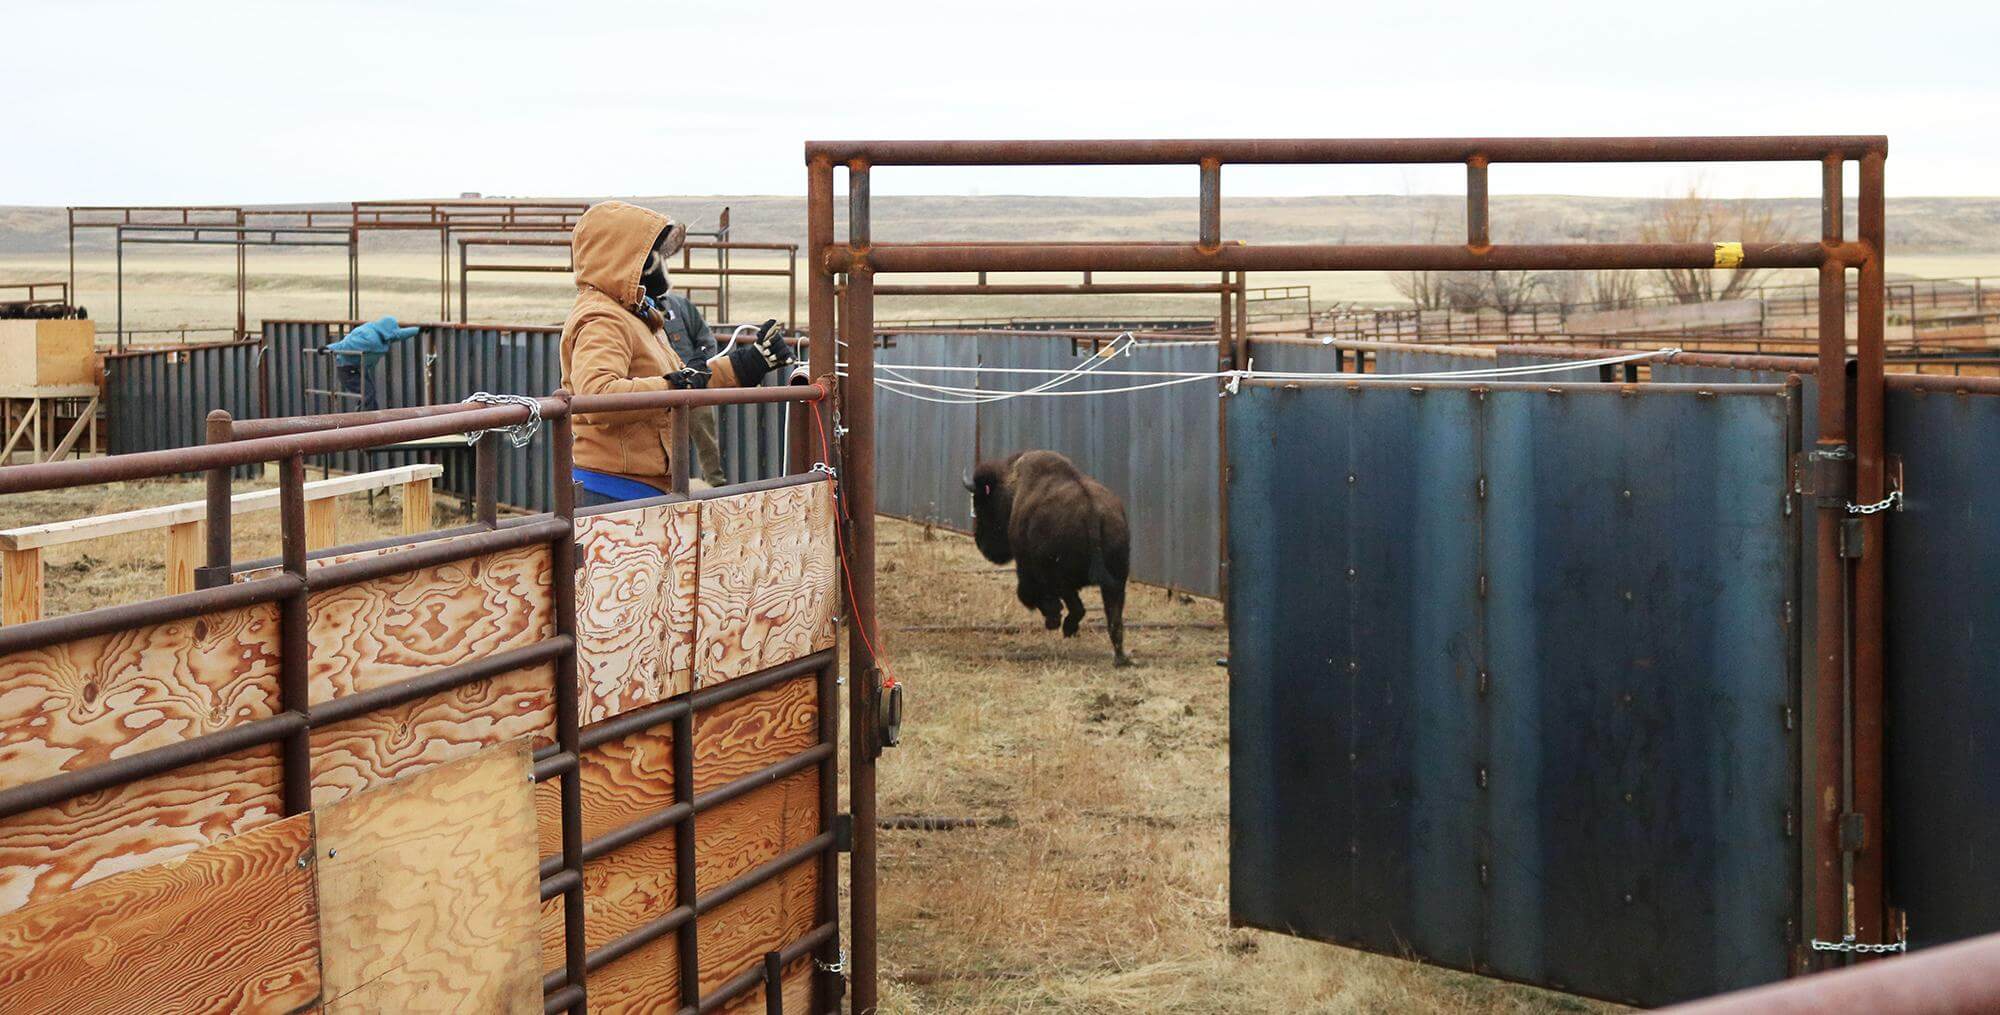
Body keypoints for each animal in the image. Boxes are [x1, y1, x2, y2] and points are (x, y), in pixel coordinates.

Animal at [964, 450, 1133, 667]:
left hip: (1063, 578)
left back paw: (1063, 626)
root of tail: (1092, 514)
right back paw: (1120, 658)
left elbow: (1028, 594)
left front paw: (1053, 618)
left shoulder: (1026, 568)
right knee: (1113, 618)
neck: (1013, 484)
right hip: (1116, 582)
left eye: (982, 504)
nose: (981, 543)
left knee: (1075, 606)